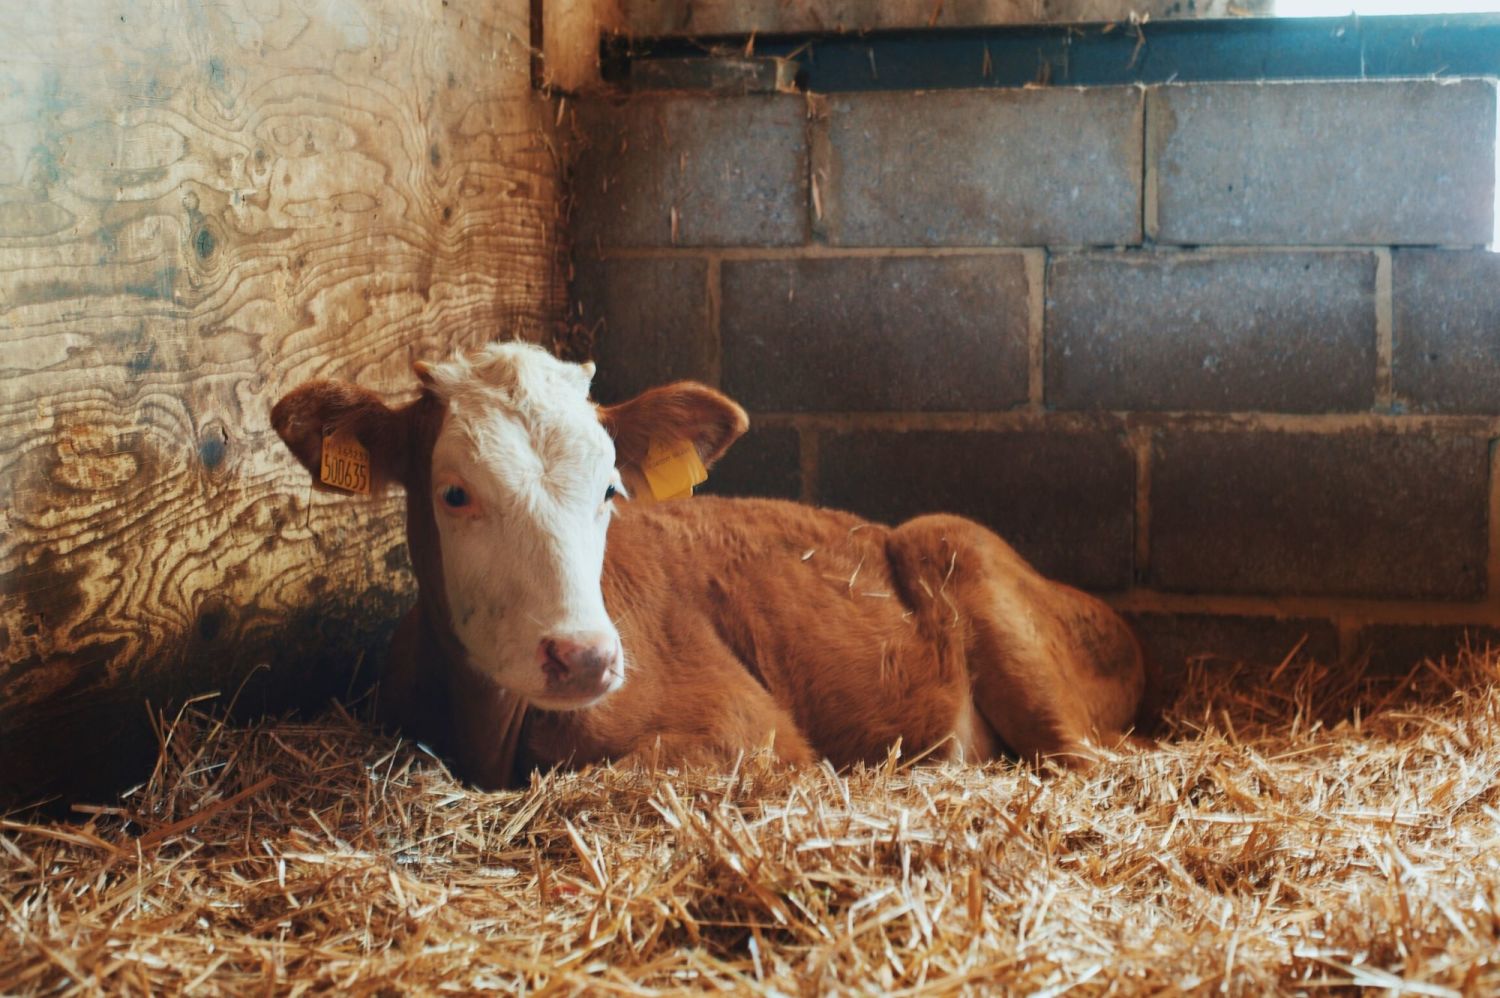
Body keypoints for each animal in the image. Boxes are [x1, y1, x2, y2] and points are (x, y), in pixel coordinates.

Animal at [272, 341, 1153, 789]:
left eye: (610, 487)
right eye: (455, 492)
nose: (584, 656)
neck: (487, 728)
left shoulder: (753, 731)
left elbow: (620, 771)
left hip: (966, 561)